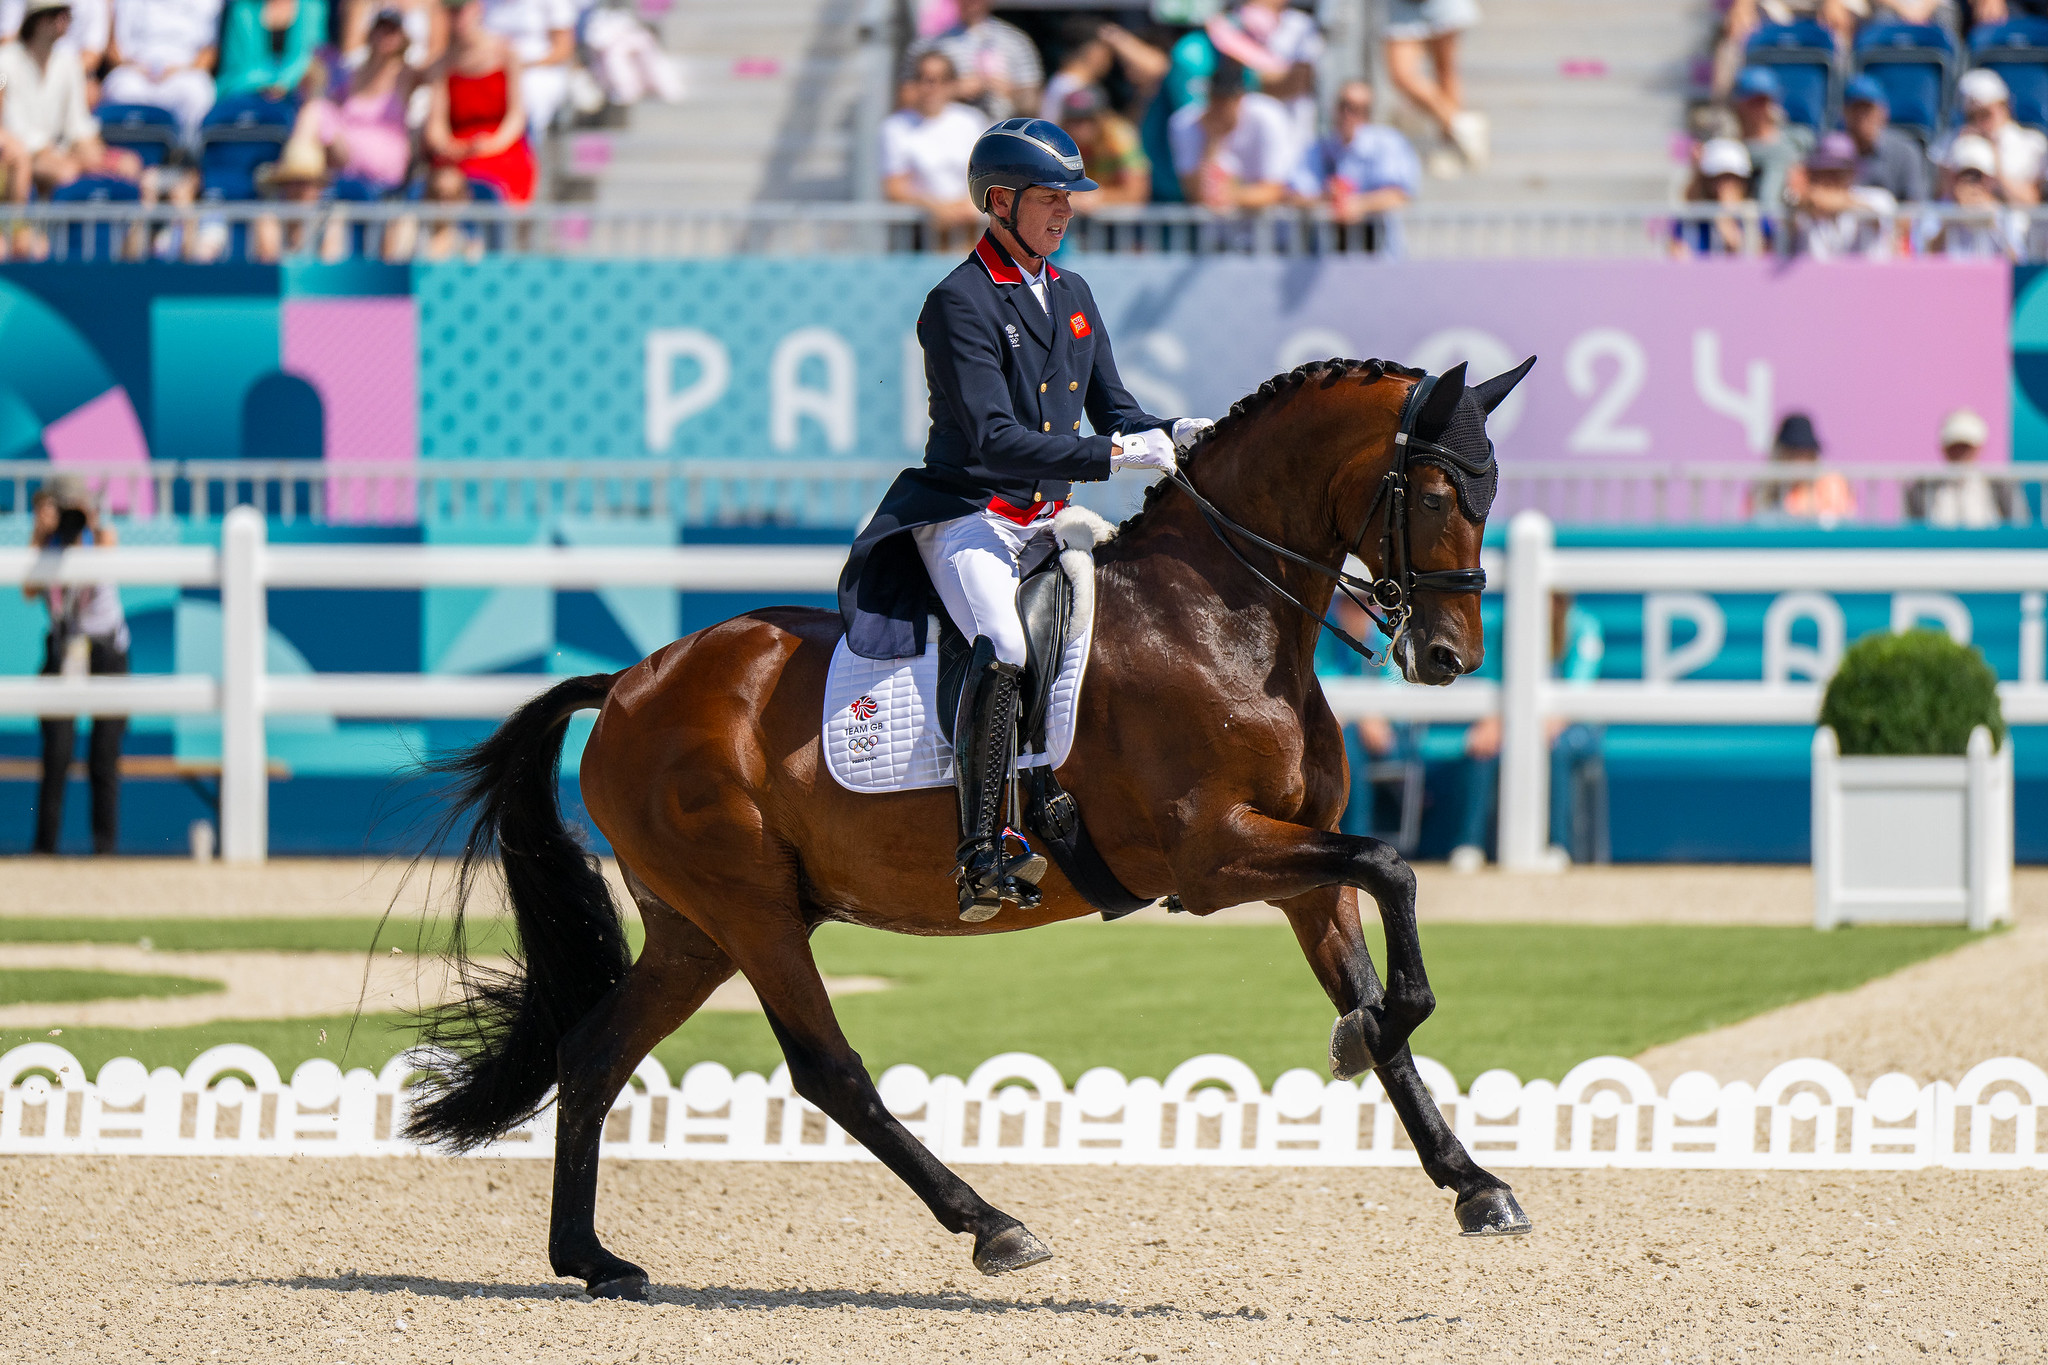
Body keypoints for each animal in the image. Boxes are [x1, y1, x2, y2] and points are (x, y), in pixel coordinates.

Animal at [406, 356, 1538, 1301]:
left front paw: (1469, 1176)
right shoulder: (1214, 856)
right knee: (827, 1070)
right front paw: (1371, 1037)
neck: (1222, 619)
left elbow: (1374, 956)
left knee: (594, 1053)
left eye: (1488, 495)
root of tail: (631, 683)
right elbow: (1396, 873)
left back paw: (592, 1259)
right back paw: (992, 1224)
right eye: (1438, 494)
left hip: (697, 931)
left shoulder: (1300, 864)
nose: (1447, 656)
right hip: (752, 911)